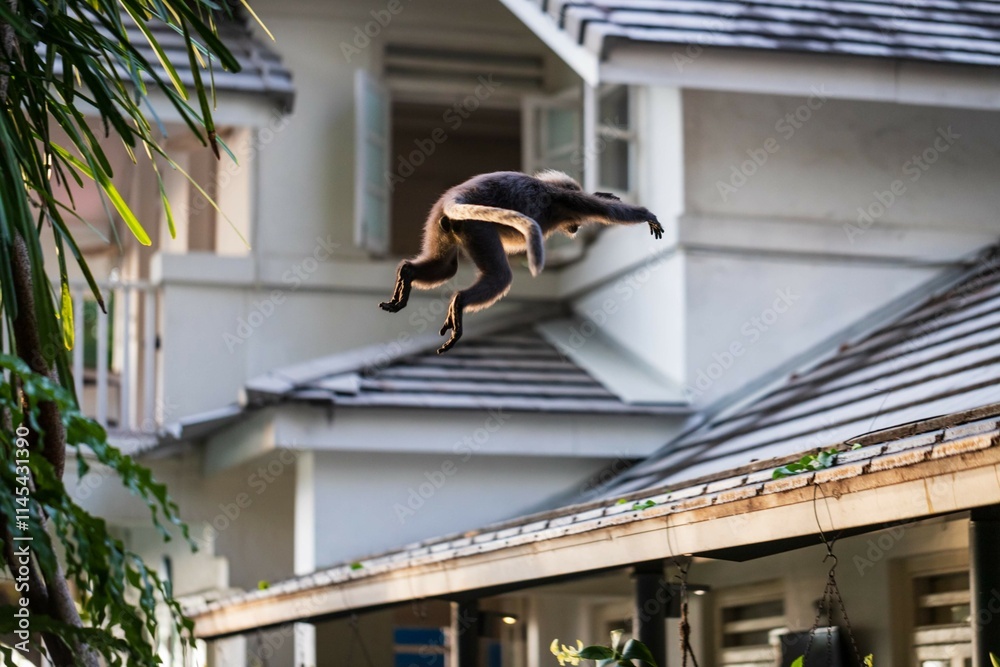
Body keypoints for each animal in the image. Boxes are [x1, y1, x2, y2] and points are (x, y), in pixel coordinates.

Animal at [379, 170, 664, 354]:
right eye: (576, 223)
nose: (577, 229)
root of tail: (454, 199)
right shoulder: (567, 199)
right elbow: (609, 211)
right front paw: (646, 215)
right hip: (478, 227)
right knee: (500, 276)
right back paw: (459, 303)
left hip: (441, 222)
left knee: (446, 266)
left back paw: (406, 275)